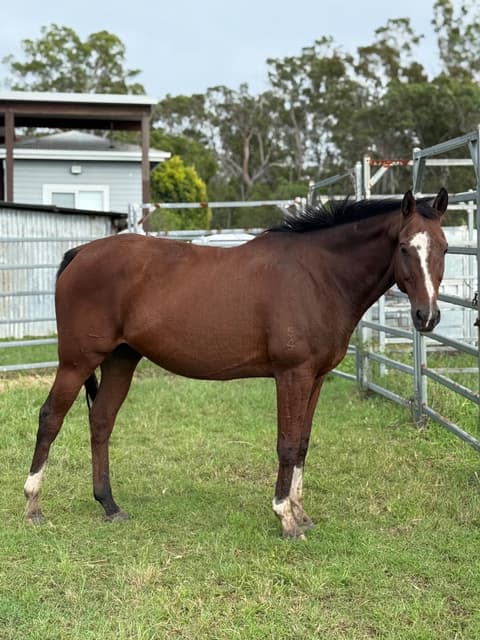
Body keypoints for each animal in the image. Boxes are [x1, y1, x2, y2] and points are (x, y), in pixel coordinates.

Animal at [24, 188, 448, 538]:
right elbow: (287, 444)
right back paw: (33, 506)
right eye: (405, 247)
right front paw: (285, 518)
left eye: (444, 248)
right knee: (50, 418)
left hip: (120, 360)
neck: (318, 276)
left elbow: (304, 443)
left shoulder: (316, 377)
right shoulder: (292, 375)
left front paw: (301, 512)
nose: (426, 317)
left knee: (101, 421)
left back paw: (109, 505)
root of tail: (80, 253)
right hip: (77, 361)